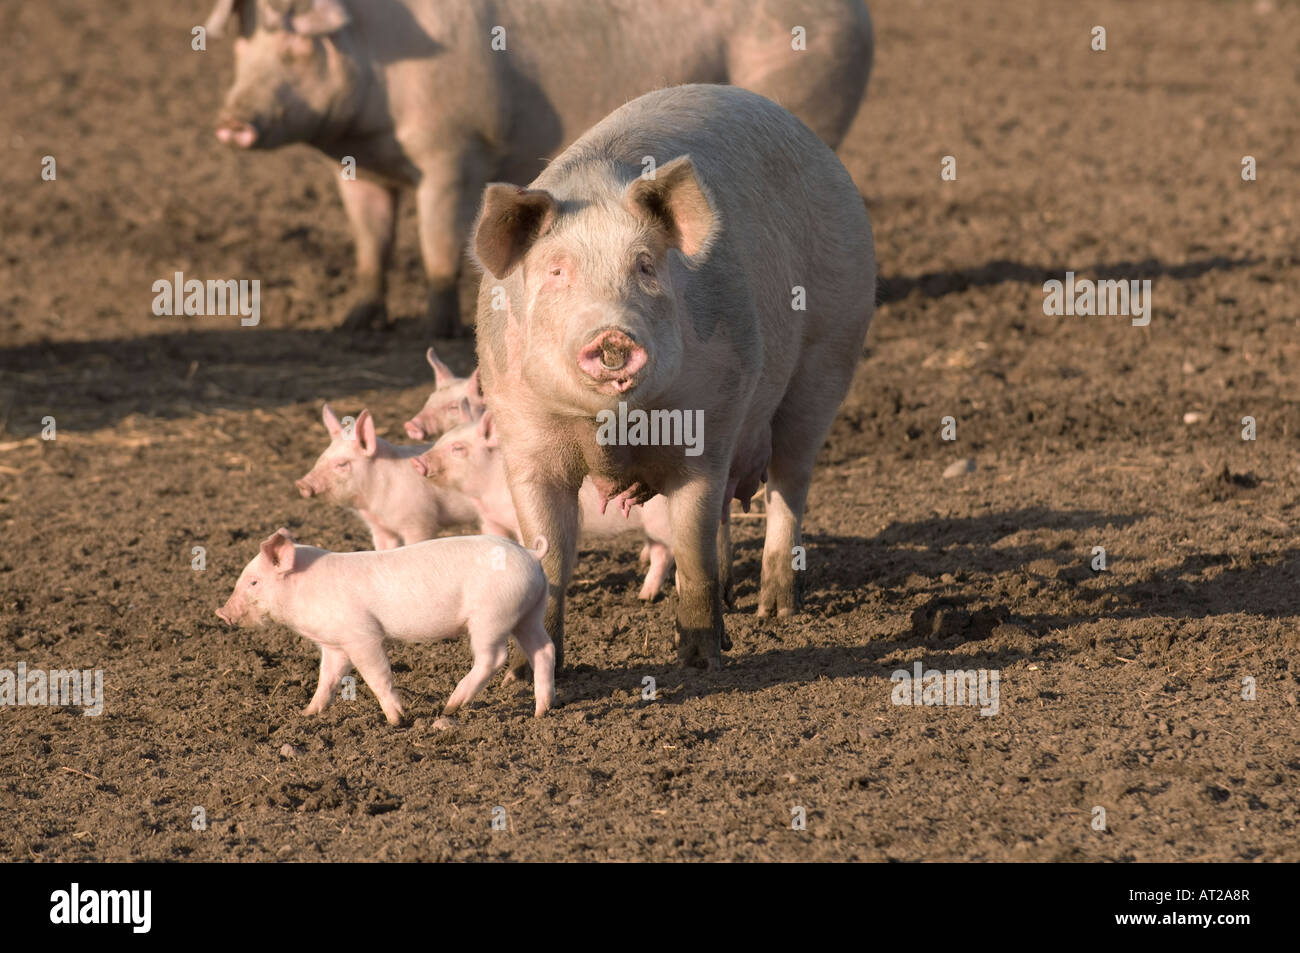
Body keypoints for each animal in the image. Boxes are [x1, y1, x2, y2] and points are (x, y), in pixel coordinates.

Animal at [203, 0, 874, 336]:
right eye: (243, 45)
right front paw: (355, 323)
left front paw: (435, 331)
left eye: (297, 45)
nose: (231, 121)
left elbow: (439, 246)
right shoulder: (360, 173)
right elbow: (373, 243)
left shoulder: (455, 153)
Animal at [216, 528, 554, 721]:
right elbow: (327, 679)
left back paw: (450, 707)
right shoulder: (335, 645)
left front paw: (398, 720)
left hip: (491, 614)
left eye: (254, 582)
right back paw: (541, 711)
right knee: (544, 649)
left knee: (494, 657)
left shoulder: (362, 635)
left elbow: (377, 676)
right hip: (530, 612)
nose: (222, 612)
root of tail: (530, 553)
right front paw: (307, 713)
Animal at [295, 403, 479, 549]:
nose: (301, 483)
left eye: (341, 464)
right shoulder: (380, 529)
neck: (373, 505)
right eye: (321, 457)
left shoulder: (418, 521)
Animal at [412, 403, 676, 601]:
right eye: (441, 439)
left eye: (458, 448)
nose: (417, 461)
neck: (486, 492)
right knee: (660, 553)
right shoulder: (490, 521)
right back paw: (644, 596)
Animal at [471, 84, 875, 670]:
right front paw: (523, 676)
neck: (610, 428)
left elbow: (690, 541)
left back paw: (774, 610)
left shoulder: (707, 419)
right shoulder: (522, 430)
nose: (613, 336)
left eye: (644, 265)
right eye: (556, 270)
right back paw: (736, 598)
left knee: (789, 483)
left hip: (830, 354)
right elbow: (547, 554)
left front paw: (702, 661)